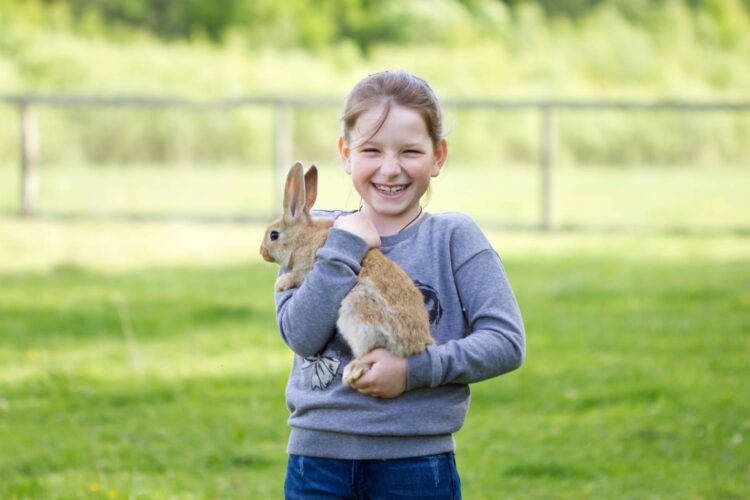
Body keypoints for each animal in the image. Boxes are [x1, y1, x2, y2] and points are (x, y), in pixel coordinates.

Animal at [260, 162, 433, 385]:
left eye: (274, 235)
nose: (262, 252)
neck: (303, 237)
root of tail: (417, 345)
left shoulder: (306, 266)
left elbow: (297, 276)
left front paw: (281, 283)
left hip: (359, 310)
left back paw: (354, 370)